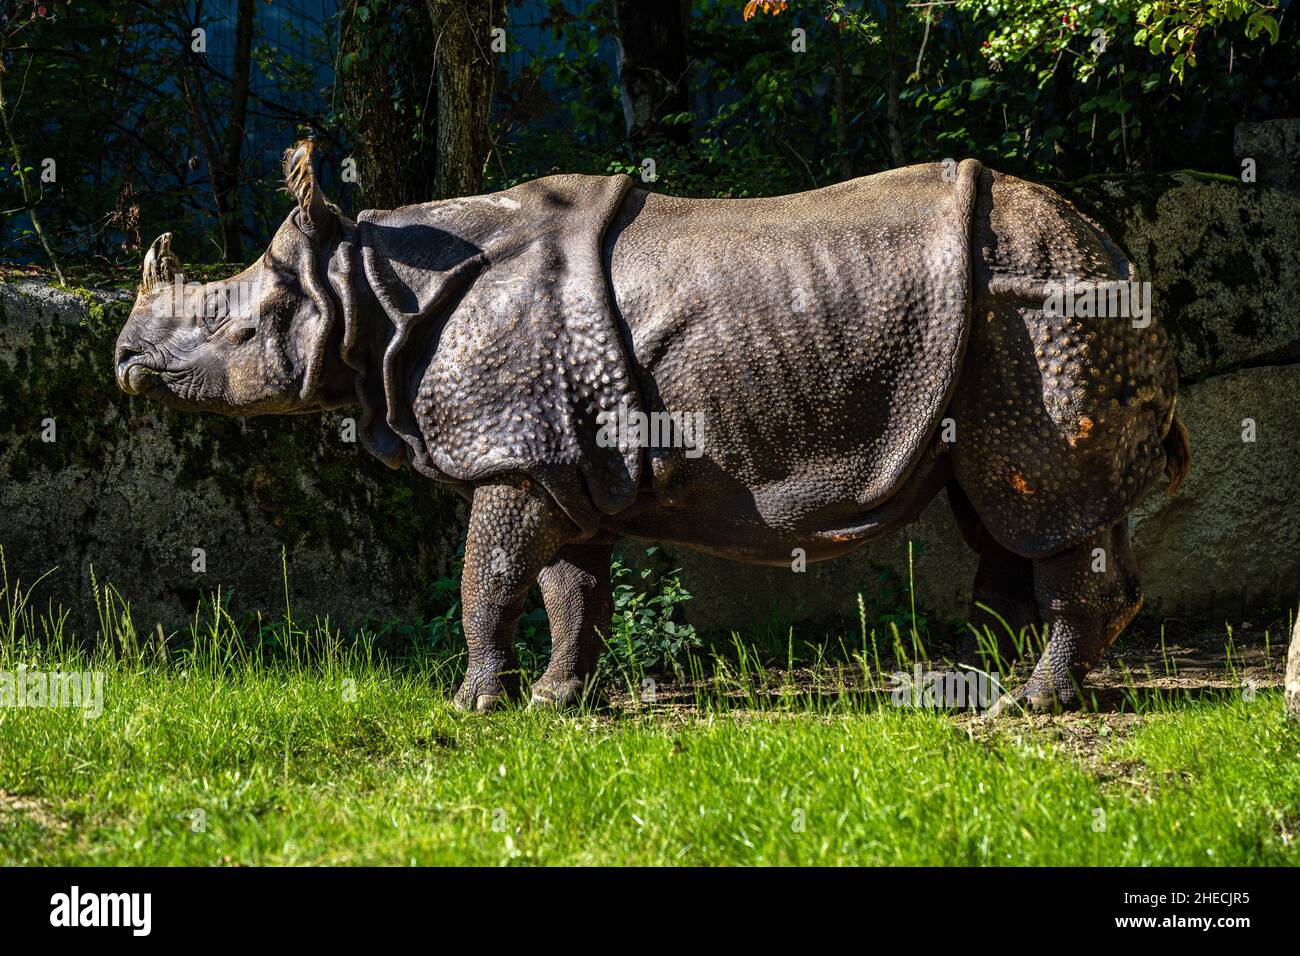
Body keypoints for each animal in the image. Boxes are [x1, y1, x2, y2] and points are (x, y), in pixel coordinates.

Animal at [115, 141, 1188, 715]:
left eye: (239, 328)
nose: (125, 359)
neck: (373, 289)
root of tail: (1115, 248)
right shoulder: (554, 455)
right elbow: (569, 592)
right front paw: (556, 701)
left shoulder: (515, 455)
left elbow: (487, 582)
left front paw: (473, 706)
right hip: (1022, 311)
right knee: (1012, 510)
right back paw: (995, 686)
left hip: (1033, 309)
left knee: (1033, 501)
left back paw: (1026, 704)